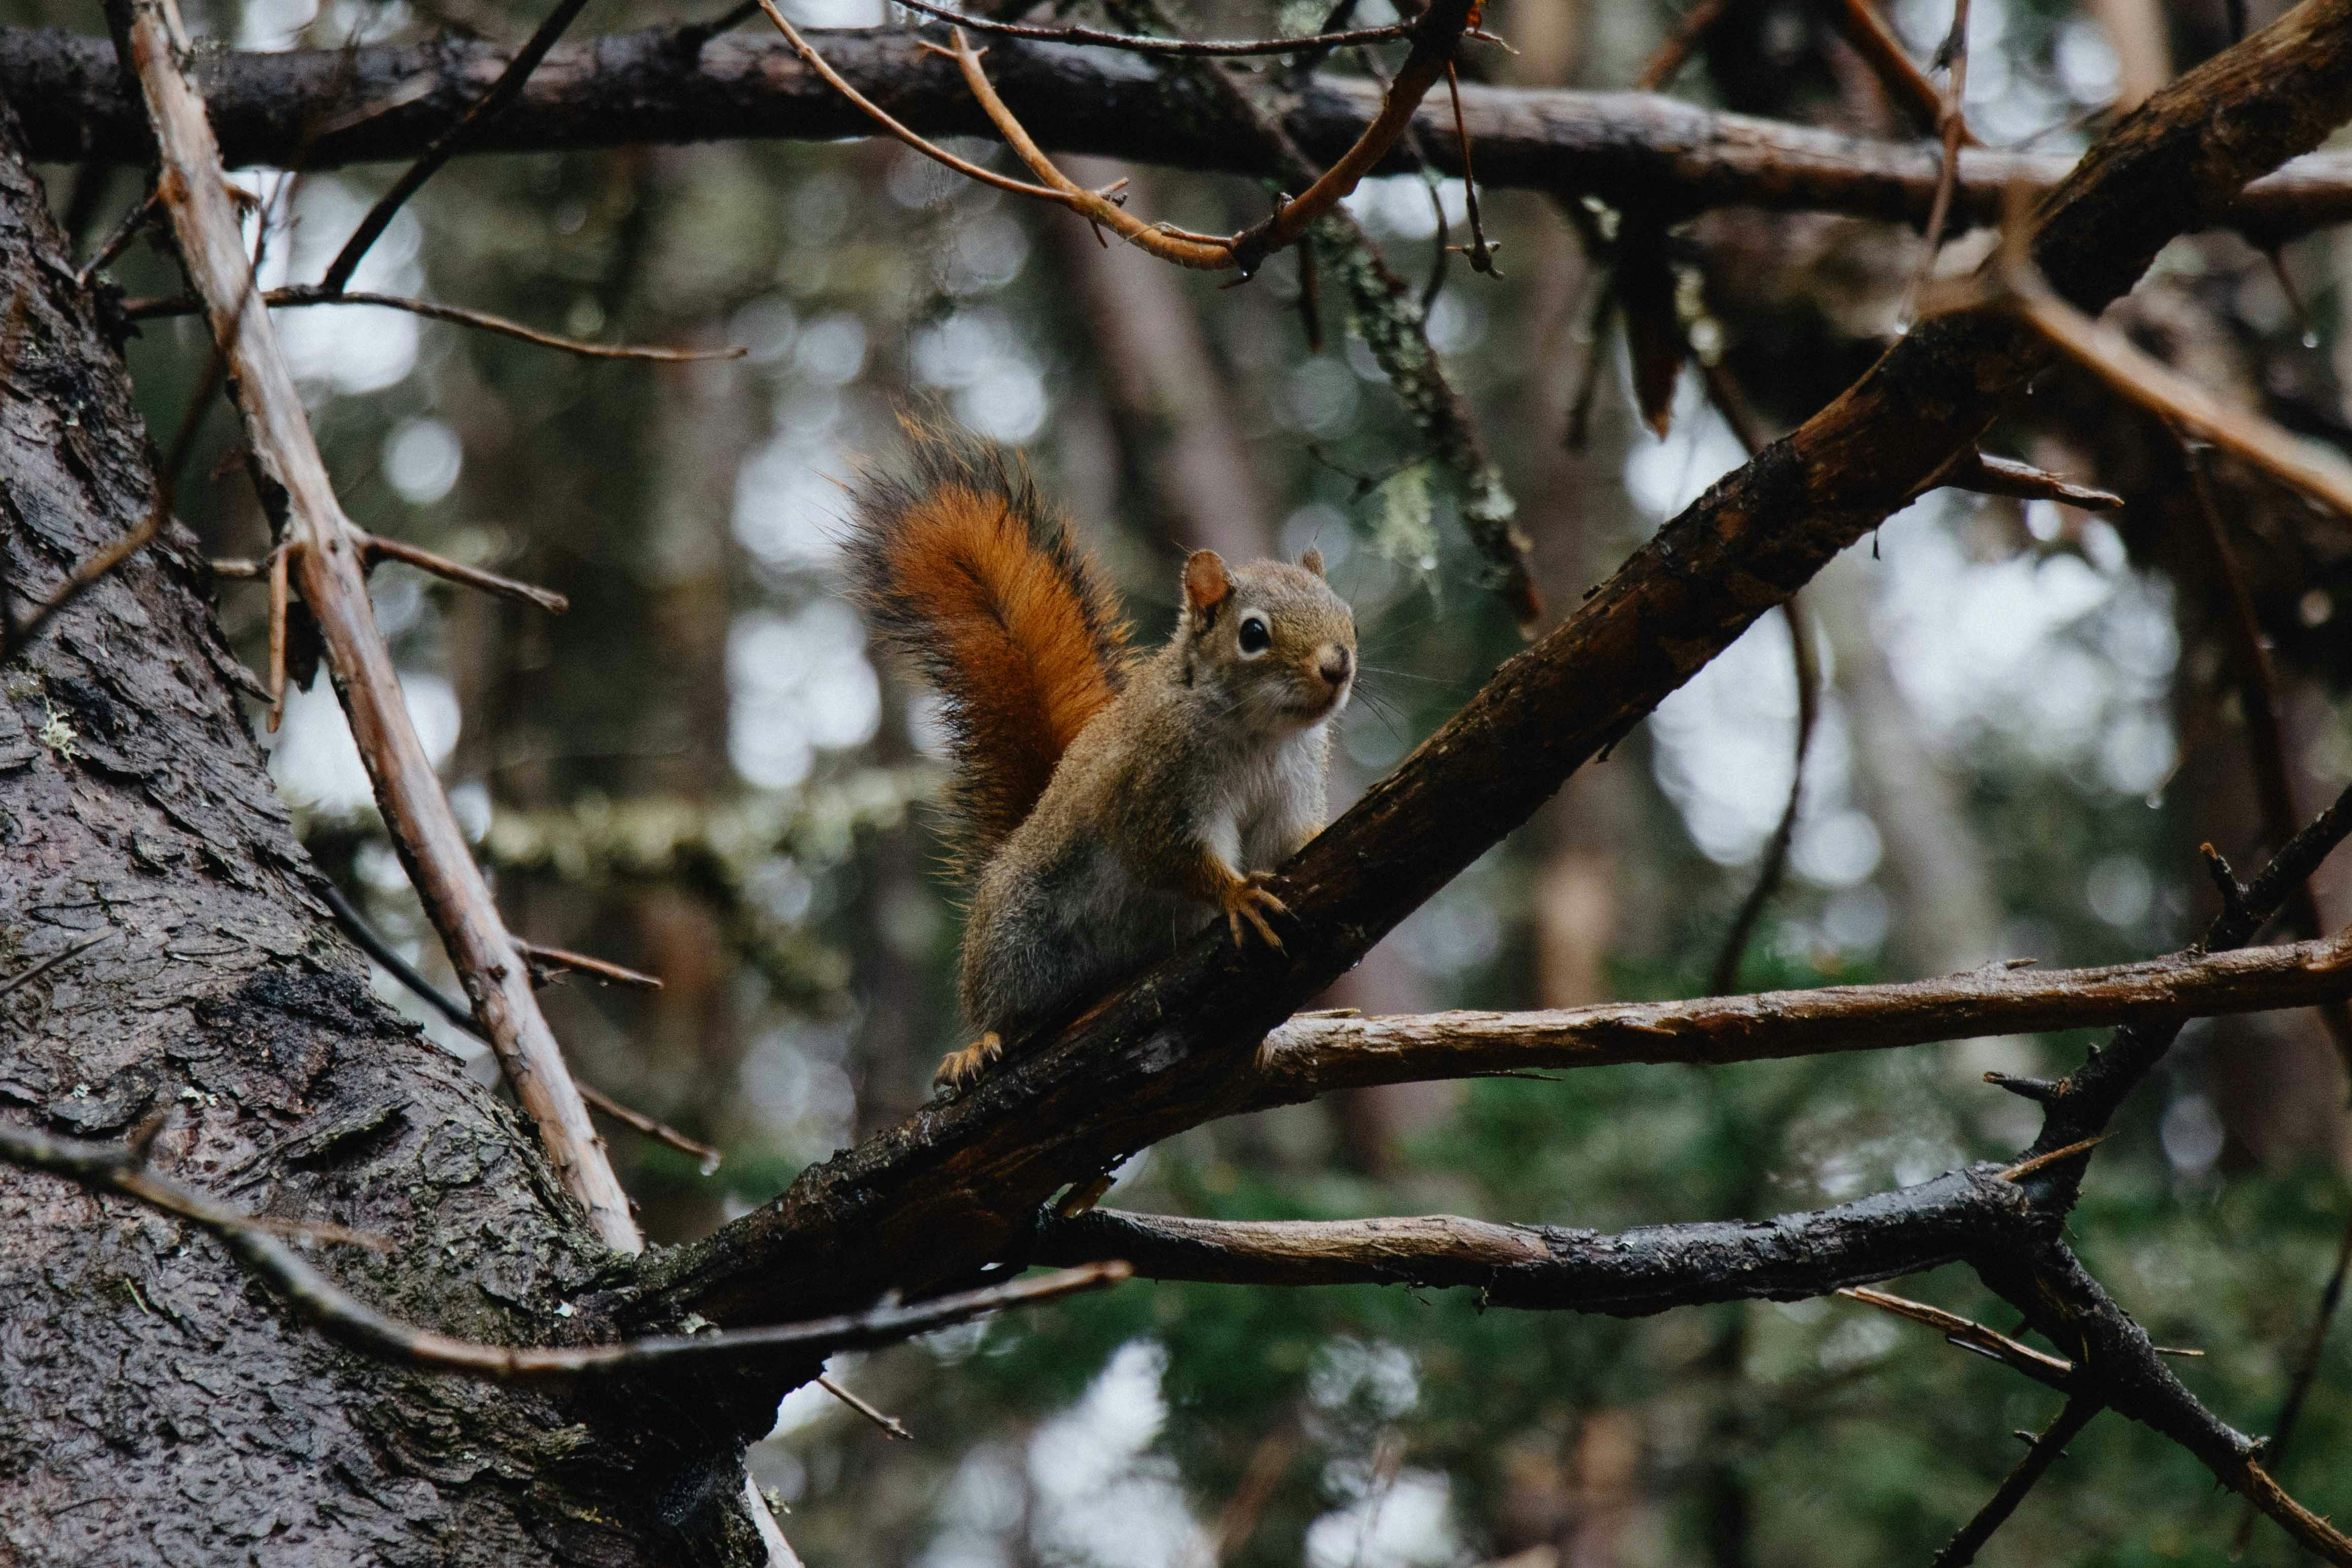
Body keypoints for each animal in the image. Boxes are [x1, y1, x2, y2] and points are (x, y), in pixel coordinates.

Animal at [844, 421, 1356, 1090]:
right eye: (1253, 634)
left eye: (1346, 613)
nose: (1338, 666)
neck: (1261, 735)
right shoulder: (1154, 790)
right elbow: (1173, 855)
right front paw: (1237, 894)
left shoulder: (1291, 790)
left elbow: (1292, 839)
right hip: (1016, 933)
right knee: (1004, 1005)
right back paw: (980, 1043)